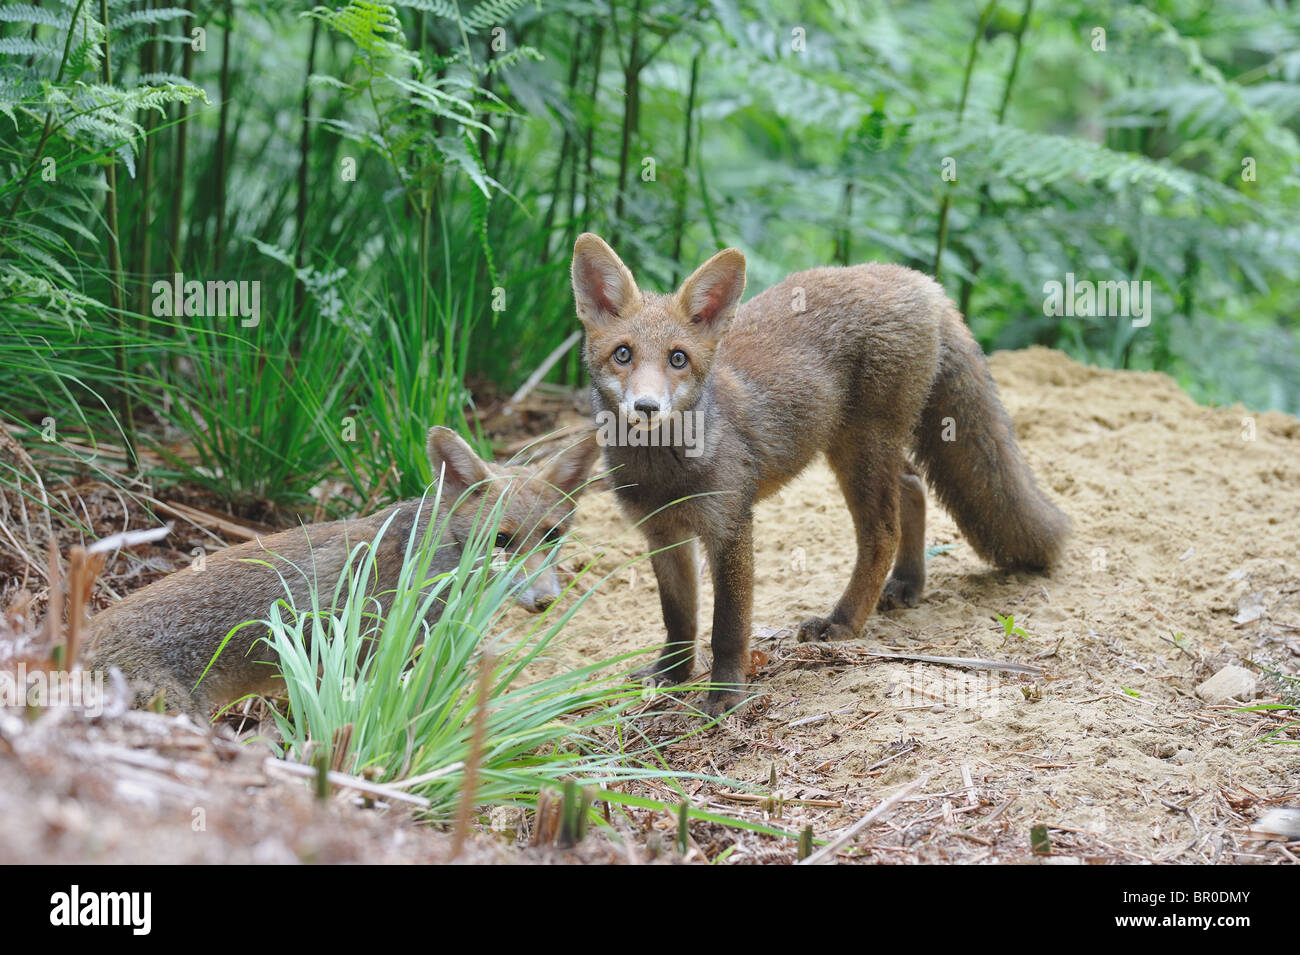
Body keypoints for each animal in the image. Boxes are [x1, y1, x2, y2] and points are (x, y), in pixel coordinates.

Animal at [571, 233, 1070, 716]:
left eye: (678, 359)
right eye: (622, 354)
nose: (647, 407)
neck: (663, 474)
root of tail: (912, 278)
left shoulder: (730, 527)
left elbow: (727, 627)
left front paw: (725, 696)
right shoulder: (662, 533)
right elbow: (678, 619)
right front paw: (671, 675)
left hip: (860, 450)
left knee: (882, 533)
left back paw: (843, 621)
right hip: (863, 448)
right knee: (913, 487)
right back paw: (909, 583)